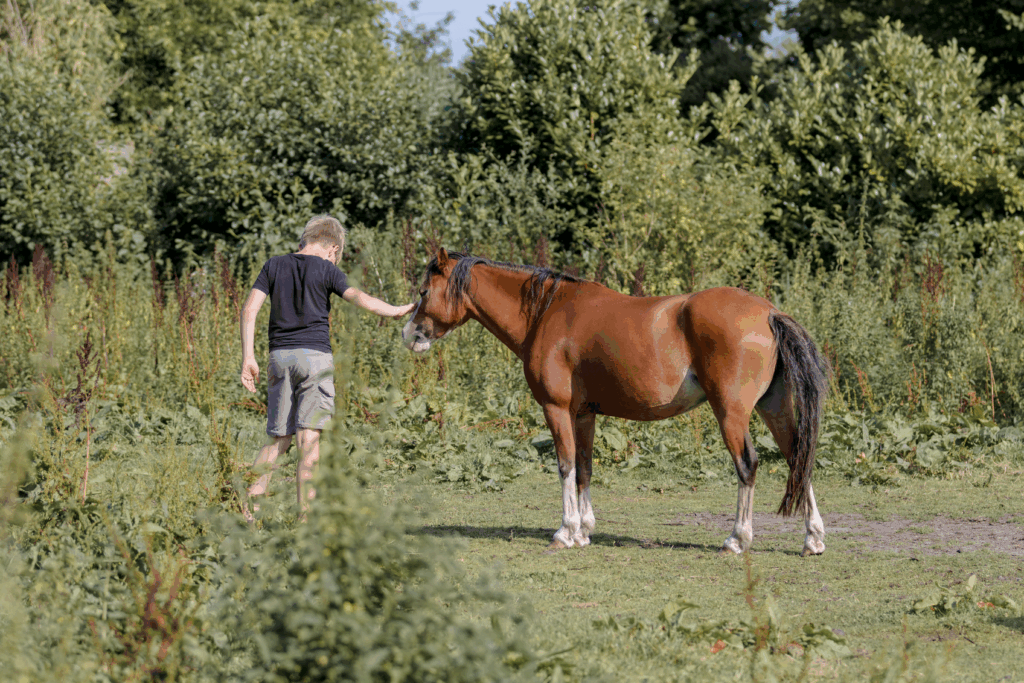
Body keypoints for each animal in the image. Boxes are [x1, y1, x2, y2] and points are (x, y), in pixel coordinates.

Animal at [402, 249, 830, 555]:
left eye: (424, 292)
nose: (409, 334)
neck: (546, 312)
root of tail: (770, 312)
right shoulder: (583, 415)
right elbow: (586, 469)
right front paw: (584, 531)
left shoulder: (556, 409)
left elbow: (565, 465)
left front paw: (565, 531)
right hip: (774, 408)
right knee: (798, 456)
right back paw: (812, 539)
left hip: (732, 413)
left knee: (748, 465)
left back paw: (737, 539)